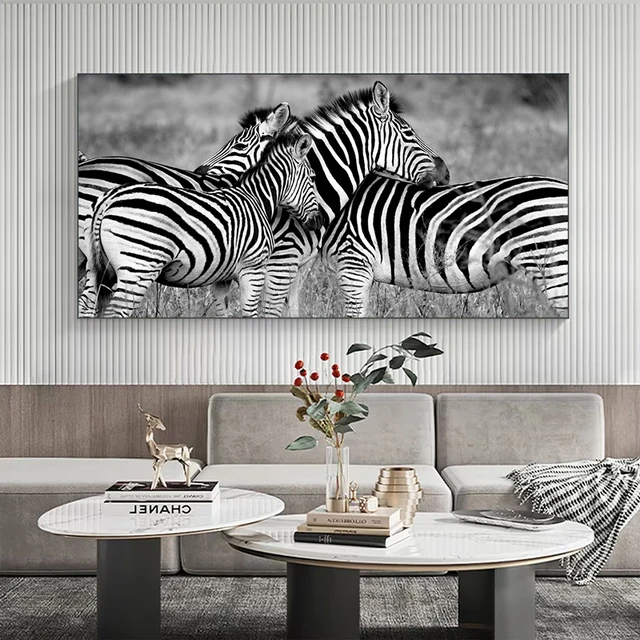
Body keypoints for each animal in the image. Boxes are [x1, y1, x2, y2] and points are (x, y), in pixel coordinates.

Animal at [78, 133, 320, 319]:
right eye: (312, 177)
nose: (320, 222)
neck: (256, 198)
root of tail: (108, 200)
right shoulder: (254, 268)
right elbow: (250, 313)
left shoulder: (222, 277)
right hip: (138, 267)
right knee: (115, 312)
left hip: (97, 268)